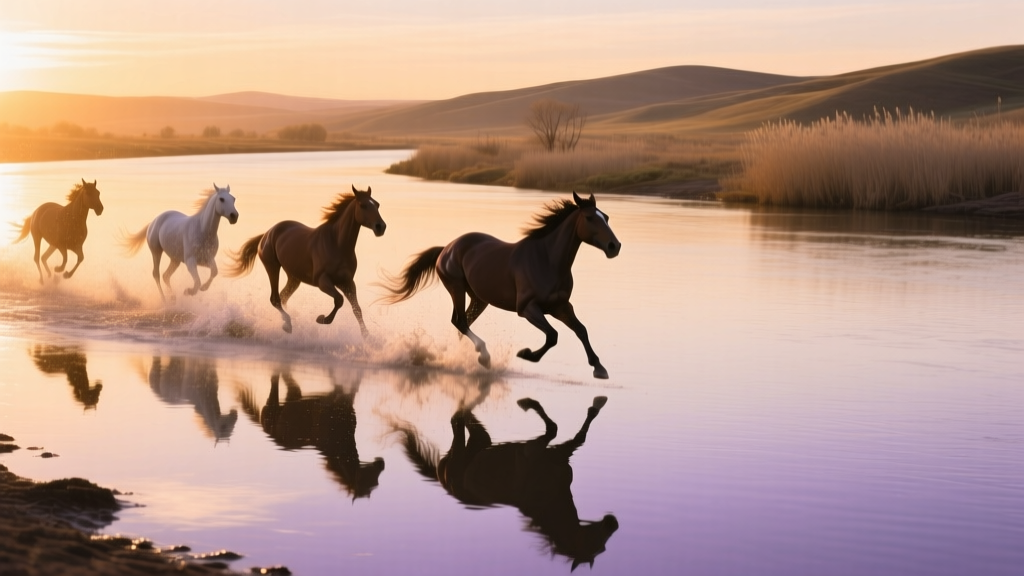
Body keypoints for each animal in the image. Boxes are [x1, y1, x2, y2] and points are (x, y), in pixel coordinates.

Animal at [226, 185, 385, 336]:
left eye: (377, 204)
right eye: (363, 205)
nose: (381, 227)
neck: (337, 244)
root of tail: (267, 233)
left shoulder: (347, 283)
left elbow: (356, 308)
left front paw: (367, 337)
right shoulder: (323, 281)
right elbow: (339, 300)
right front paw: (322, 319)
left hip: (294, 277)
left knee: (283, 297)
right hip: (272, 267)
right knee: (275, 299)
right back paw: (288, 325)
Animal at [238, 369, 385, 499]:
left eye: (375, 482)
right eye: (369, 480)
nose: (382, 464)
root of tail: (268, 432)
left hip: (294, 395)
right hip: (273, 403)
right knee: (275, 381)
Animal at [380, 192, 619, 379]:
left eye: (606, 217)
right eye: (589, 217)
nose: (614, 246)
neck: (547, 260)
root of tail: (446, 248)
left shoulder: (560, 307)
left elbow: (581, 330)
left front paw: (599, 368)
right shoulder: (528, 309)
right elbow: (553, 335)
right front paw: (526, 354)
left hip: (479, 298)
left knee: (463, 323)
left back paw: (473, 358)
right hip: (456, 288)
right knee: (459, 321)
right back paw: (484, 357)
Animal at [393, 396, 618, 570]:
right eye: (597, 546)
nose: (613, 523)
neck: (547, 493)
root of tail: (443, 482)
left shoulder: (560, 454)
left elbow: (575, 434)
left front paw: (596, 403)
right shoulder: (537, 449)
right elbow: (556, 429)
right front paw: (527, 402)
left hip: (481, 441)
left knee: (463, 419)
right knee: (457, 418)